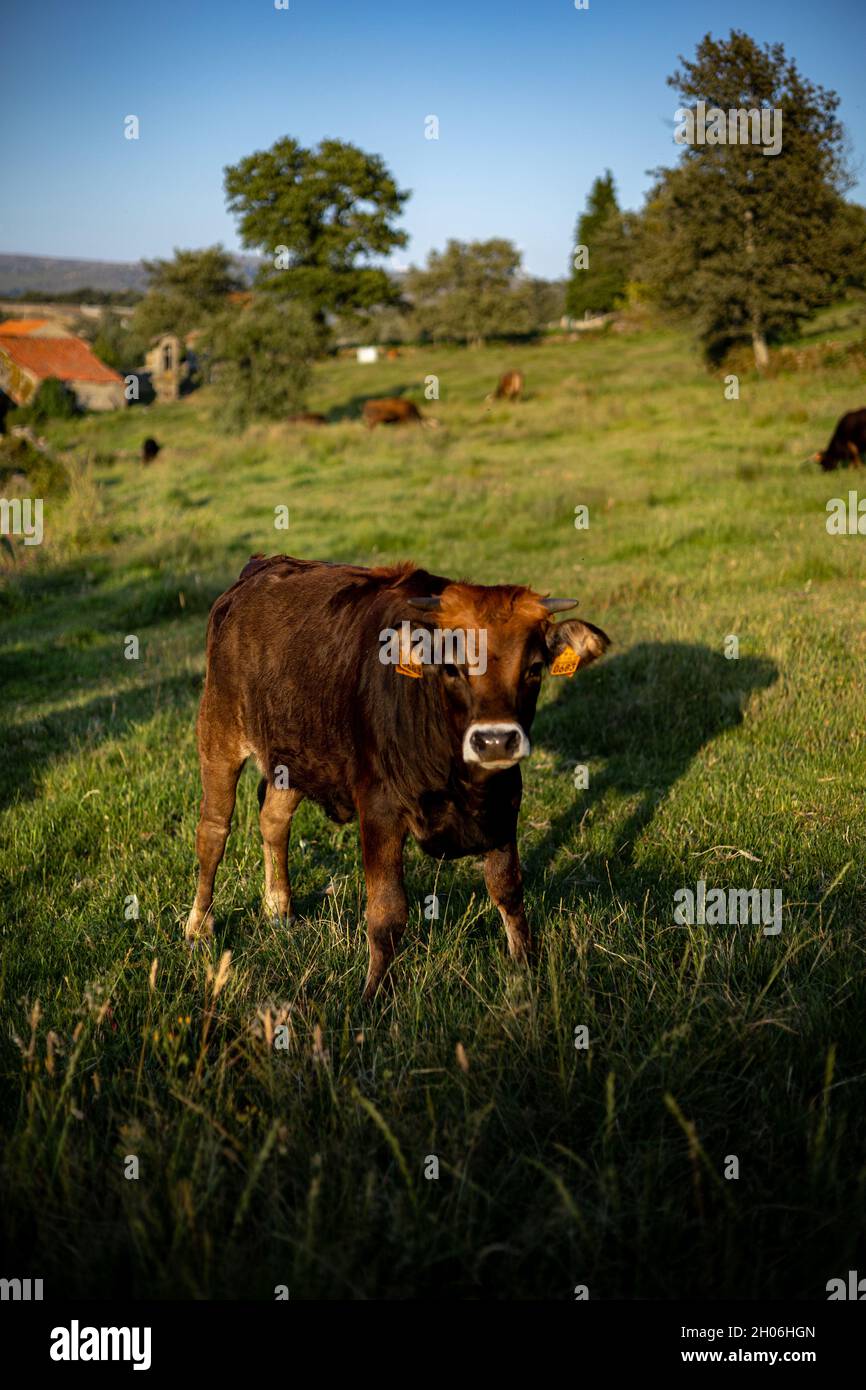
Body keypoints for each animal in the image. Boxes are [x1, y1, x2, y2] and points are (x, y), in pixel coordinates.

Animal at [186, 554, 610, 999]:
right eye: (452, 668)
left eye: (533, 669)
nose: (495, 741)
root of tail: (261, 568)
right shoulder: (380, 811)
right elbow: (387, 912)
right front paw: (374, 993)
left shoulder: (505, 801)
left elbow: (507, 888)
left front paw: (526, 965)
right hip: (219, 734)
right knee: (213, 833)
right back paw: (199, 927)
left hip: (296, 753)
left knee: (274, 821)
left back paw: (279, 909)